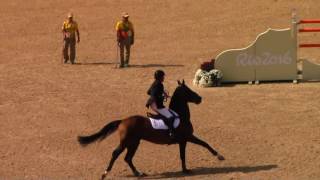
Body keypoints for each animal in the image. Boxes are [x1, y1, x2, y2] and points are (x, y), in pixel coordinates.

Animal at [77, 80, 225, 179]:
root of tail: (123, 121)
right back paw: (105, 173)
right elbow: (203, 144)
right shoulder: (187, 138)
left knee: (127, 158)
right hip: (127, 142)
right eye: (187, 91)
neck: (180, 115)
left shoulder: (183, 140)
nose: (200, 98)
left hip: (134, 143)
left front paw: (185, 169)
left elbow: (186, 153)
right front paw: (219, 156)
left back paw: (138, 173)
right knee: (116, 154)